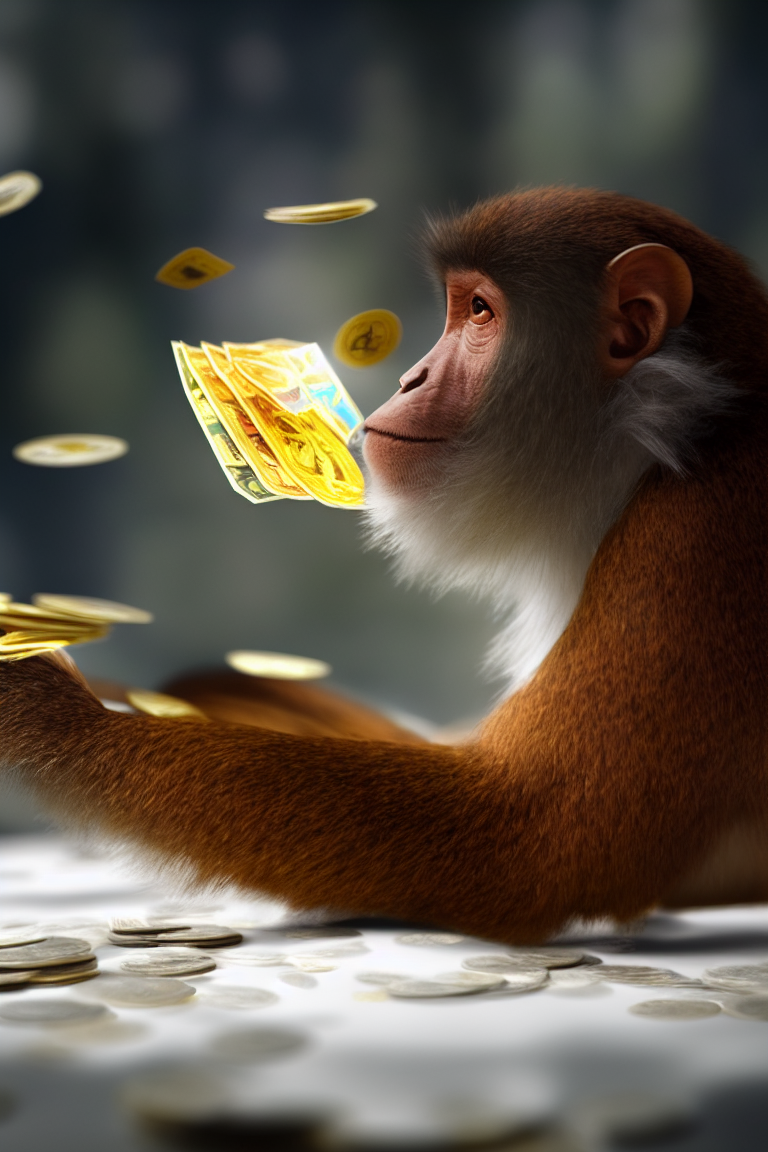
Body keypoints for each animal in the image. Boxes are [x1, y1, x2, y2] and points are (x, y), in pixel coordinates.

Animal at [0, 187, 765, 943]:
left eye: (479, 311)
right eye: (458, 307)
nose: (409, 378)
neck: (652, 446)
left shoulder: (693, 546)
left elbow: (535, 845)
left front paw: (58, 718)